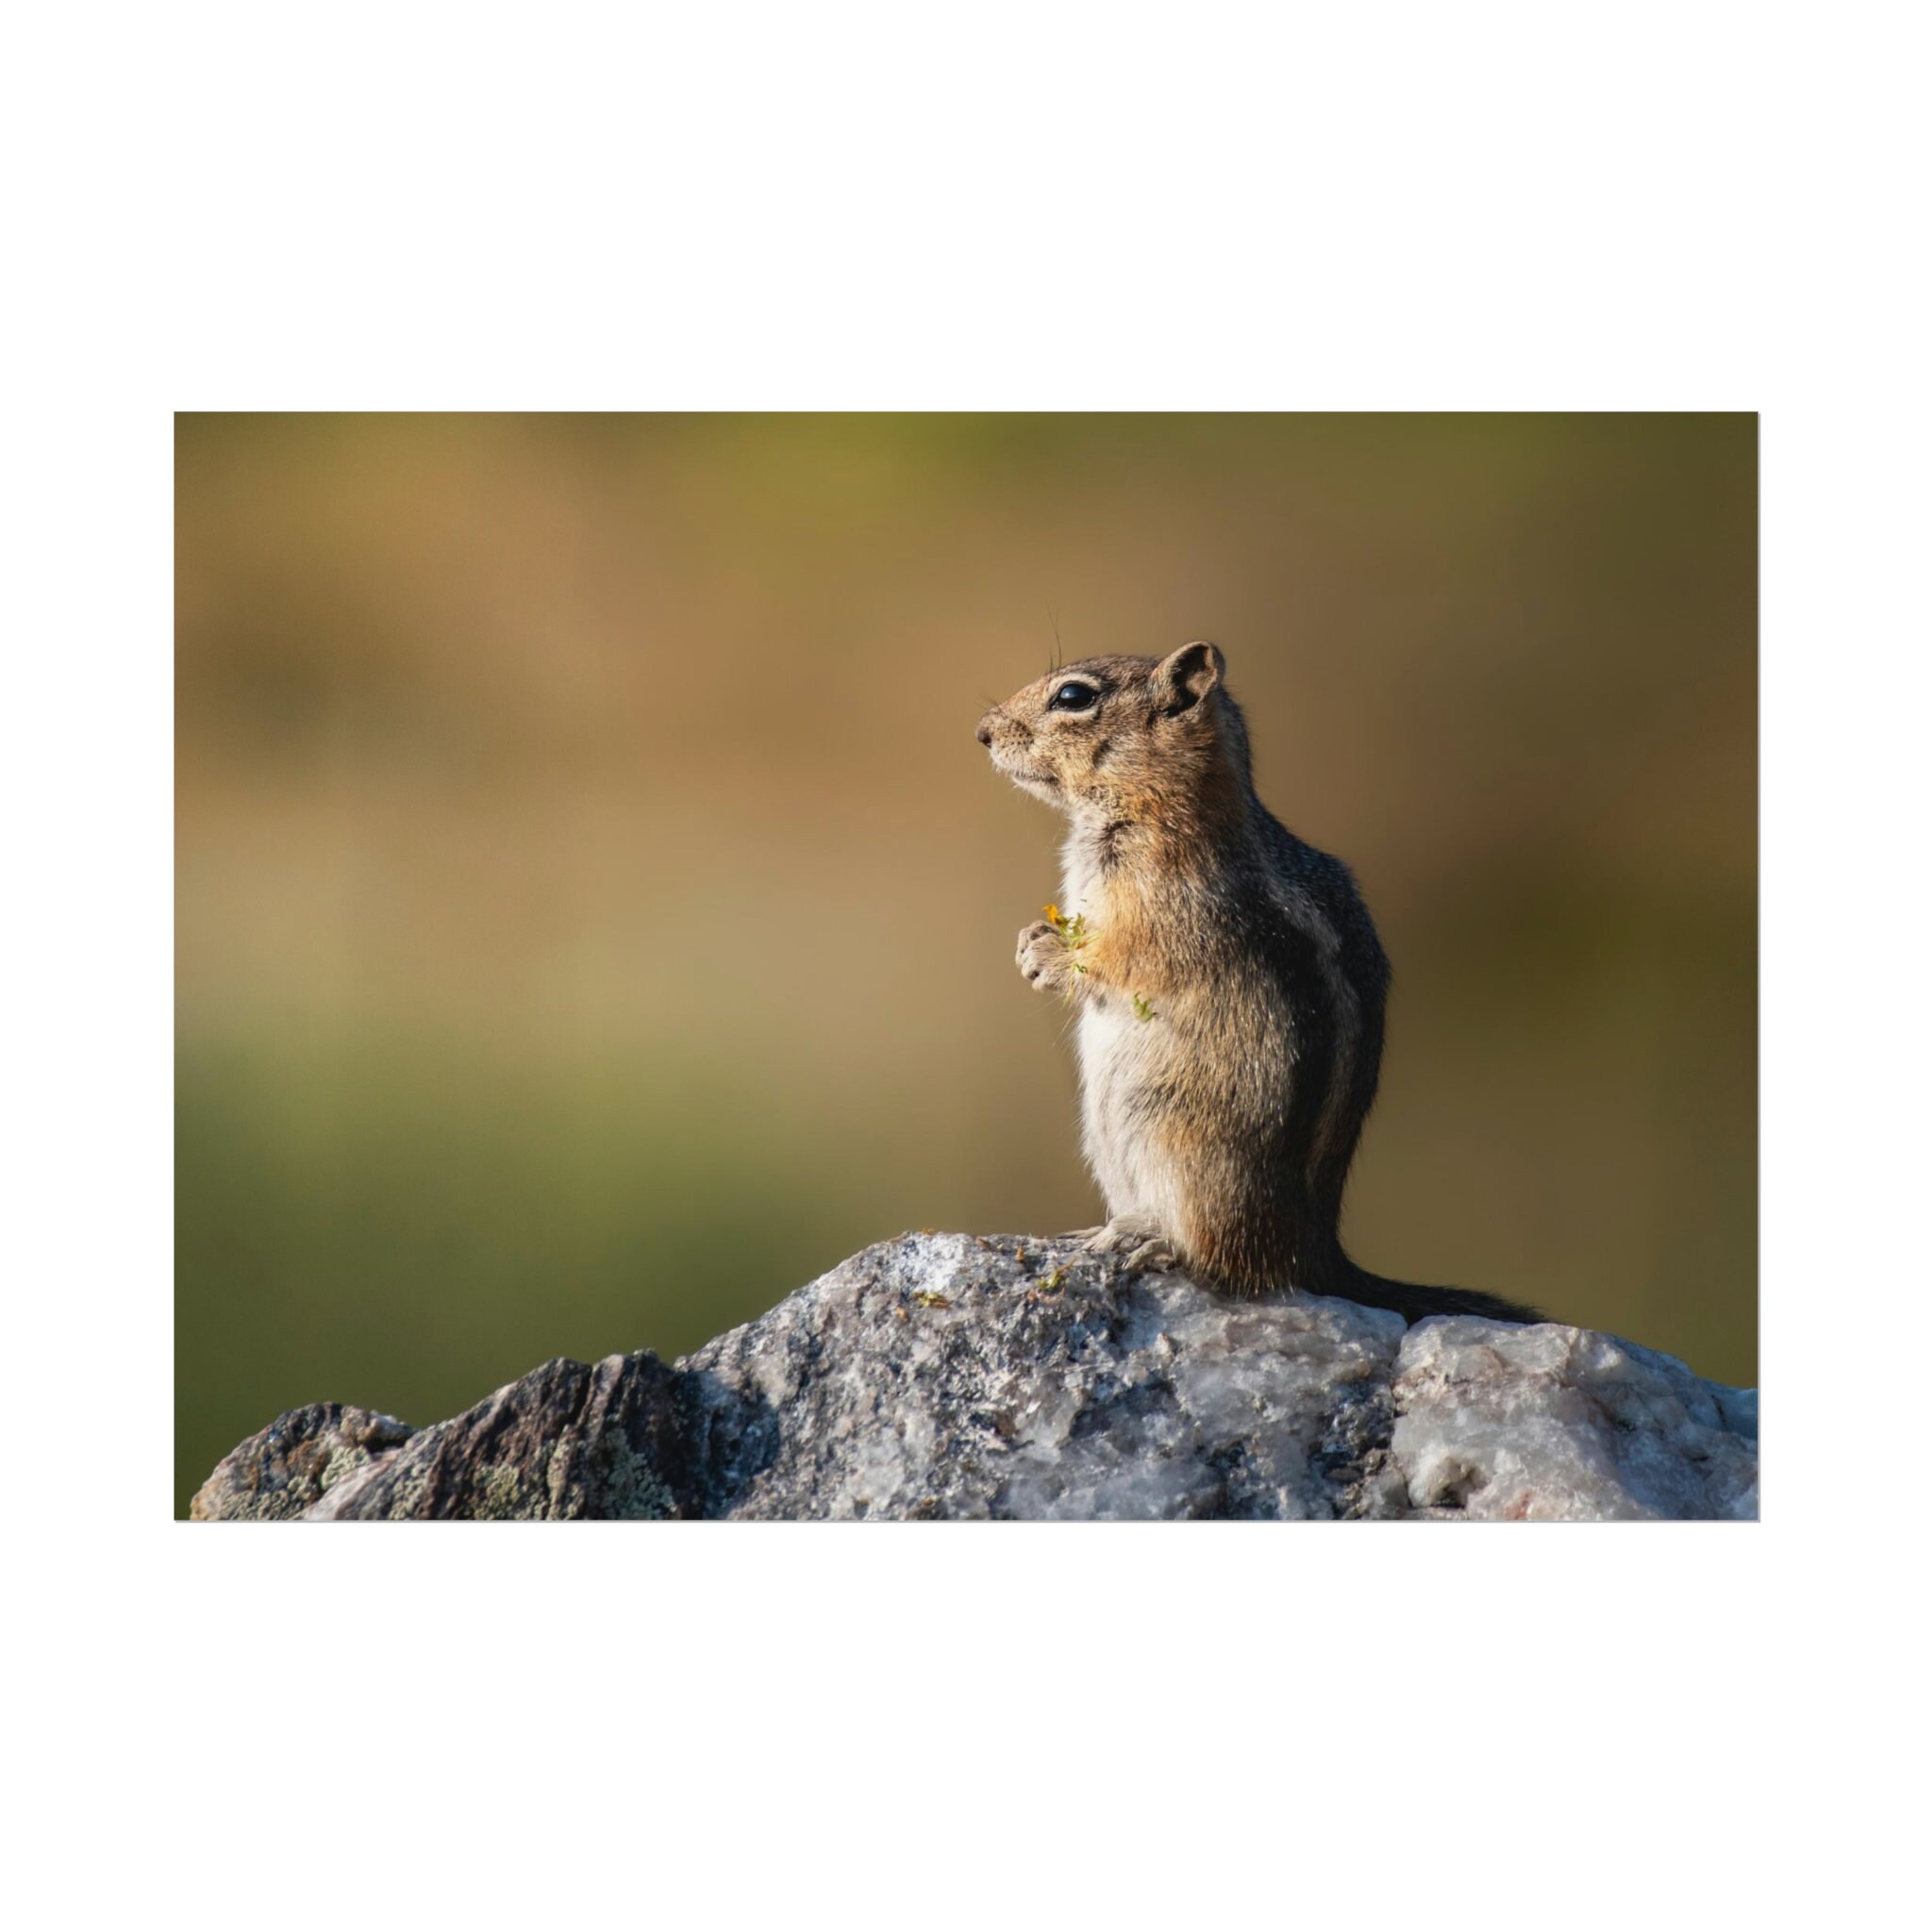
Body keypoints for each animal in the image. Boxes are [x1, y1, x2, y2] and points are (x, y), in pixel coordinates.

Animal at [975, 640, 1540, 1327]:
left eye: (1074, 697)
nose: (982, 732)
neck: (1162, 803)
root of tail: (1313, 1247)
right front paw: (1030, 938)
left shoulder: (1167, 913)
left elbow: (1120, 962)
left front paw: (1047, 958)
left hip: (1182, 1146)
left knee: (1228, 1262)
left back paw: (1151, 1244)